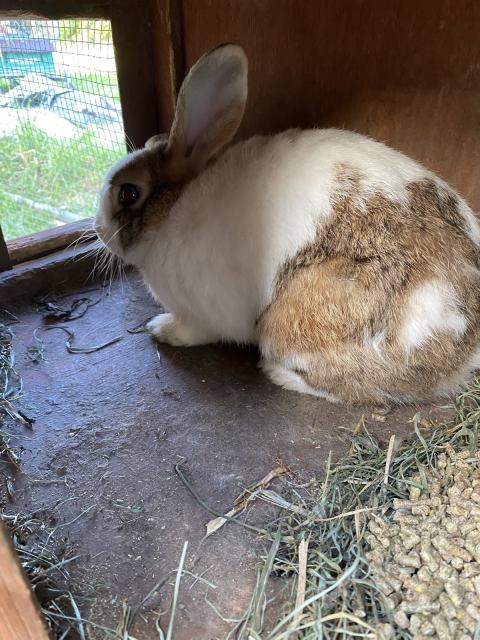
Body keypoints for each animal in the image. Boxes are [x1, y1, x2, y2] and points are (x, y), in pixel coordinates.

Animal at [95, 43, 480, 405]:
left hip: (290, 323)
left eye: (128, 193)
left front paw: (160, 329)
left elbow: (192, 331)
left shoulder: (201, 315)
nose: (98, 229)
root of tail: (467, 353)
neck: (170, 213)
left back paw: (277, 374)